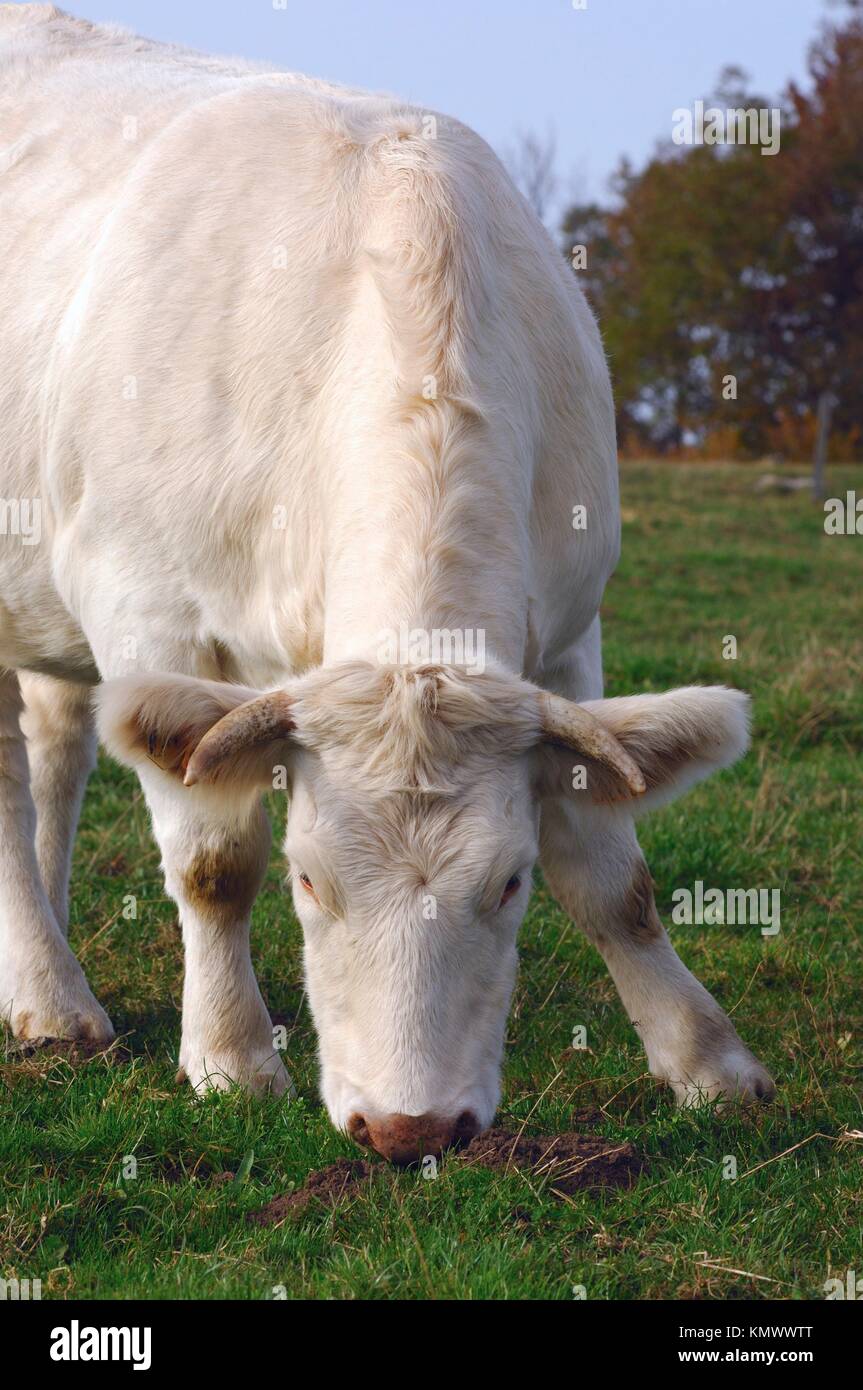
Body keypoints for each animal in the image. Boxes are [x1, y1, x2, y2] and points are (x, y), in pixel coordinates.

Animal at [0, 6, 774, 1165]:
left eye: (508, 881)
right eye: (308, 878)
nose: (410, 1127)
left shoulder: (567, 633)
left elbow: (611, 876)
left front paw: (707, 1062)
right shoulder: (149, 622)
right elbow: (212, 863)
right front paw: (231, 1057)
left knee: (54, 744)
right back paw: (51, 997)